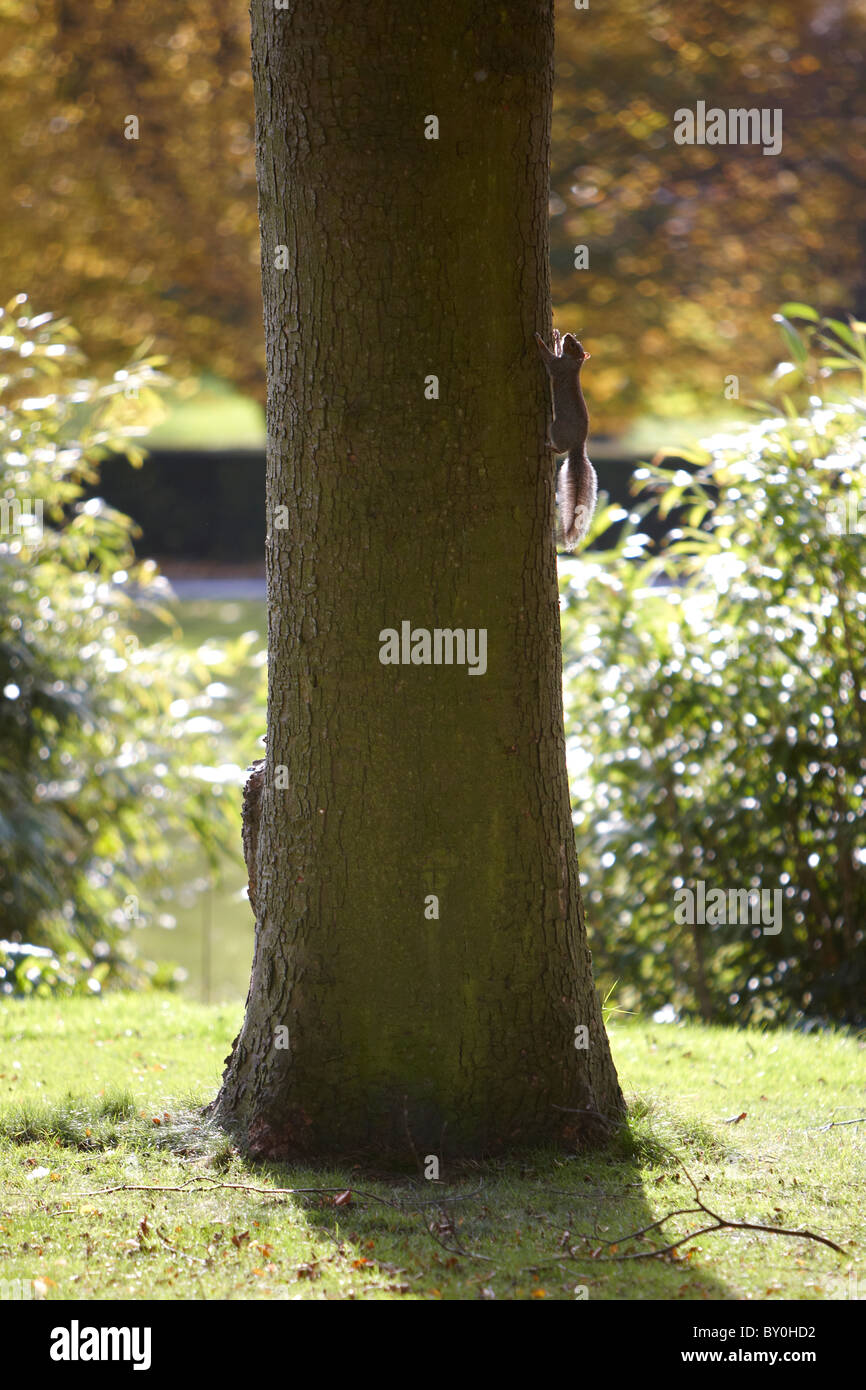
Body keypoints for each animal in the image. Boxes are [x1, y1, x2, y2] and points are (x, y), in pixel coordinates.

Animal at [535, 329, 597, 550]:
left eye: (573, 346)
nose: (568, 335)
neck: (574, 364)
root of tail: (579, 444)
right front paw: (554, 336)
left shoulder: (557, 367)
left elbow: (547, 358)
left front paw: (539, 340)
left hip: (555, 428)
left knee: (560, 448)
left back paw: (549, 447)